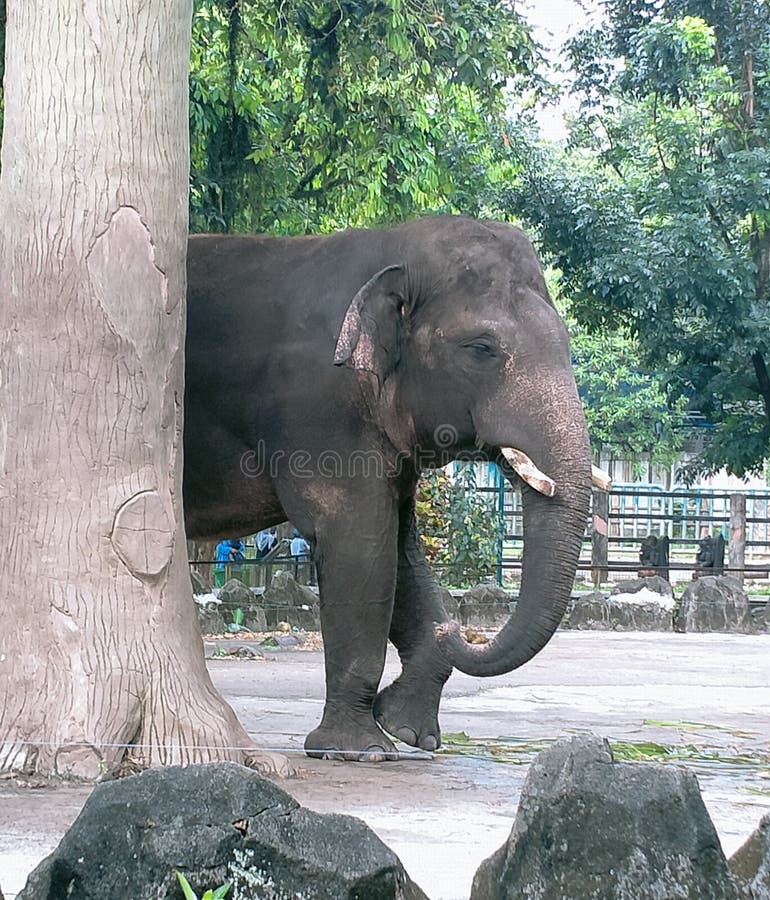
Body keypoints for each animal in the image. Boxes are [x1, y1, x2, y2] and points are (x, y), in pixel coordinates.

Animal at [183, 215, 592, 761]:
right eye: (482, 349)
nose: (457, 628)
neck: (392, 248)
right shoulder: (321, 410)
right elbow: (360, 543)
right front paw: (359, 751)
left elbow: (398, 547)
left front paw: (410, 733)